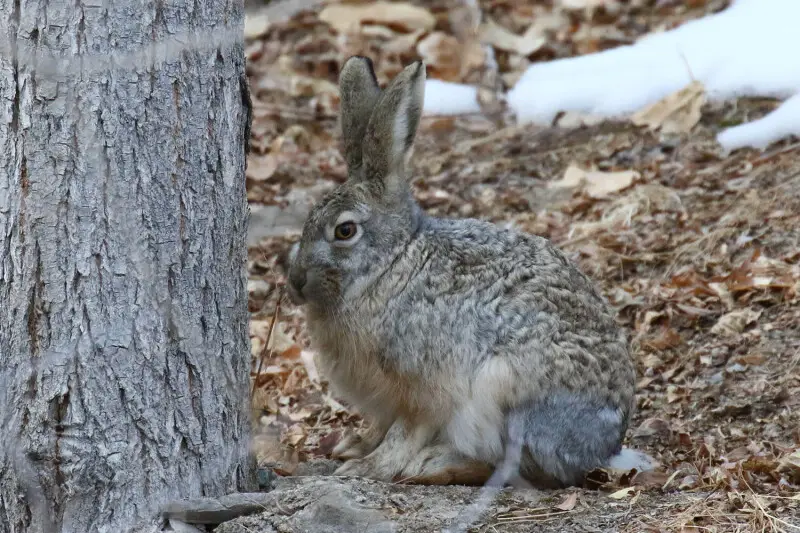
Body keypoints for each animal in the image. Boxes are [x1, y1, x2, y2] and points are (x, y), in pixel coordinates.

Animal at [286, 56, 654, 488]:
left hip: (504, 389)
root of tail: (604, 448)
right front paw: (354, 446)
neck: (392, 264)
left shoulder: (421, 388)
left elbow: (403, 433)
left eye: (344, 231)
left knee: (522, 467)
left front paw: (367, 467)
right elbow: (381, 427)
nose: (295, 282)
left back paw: (435, 465)